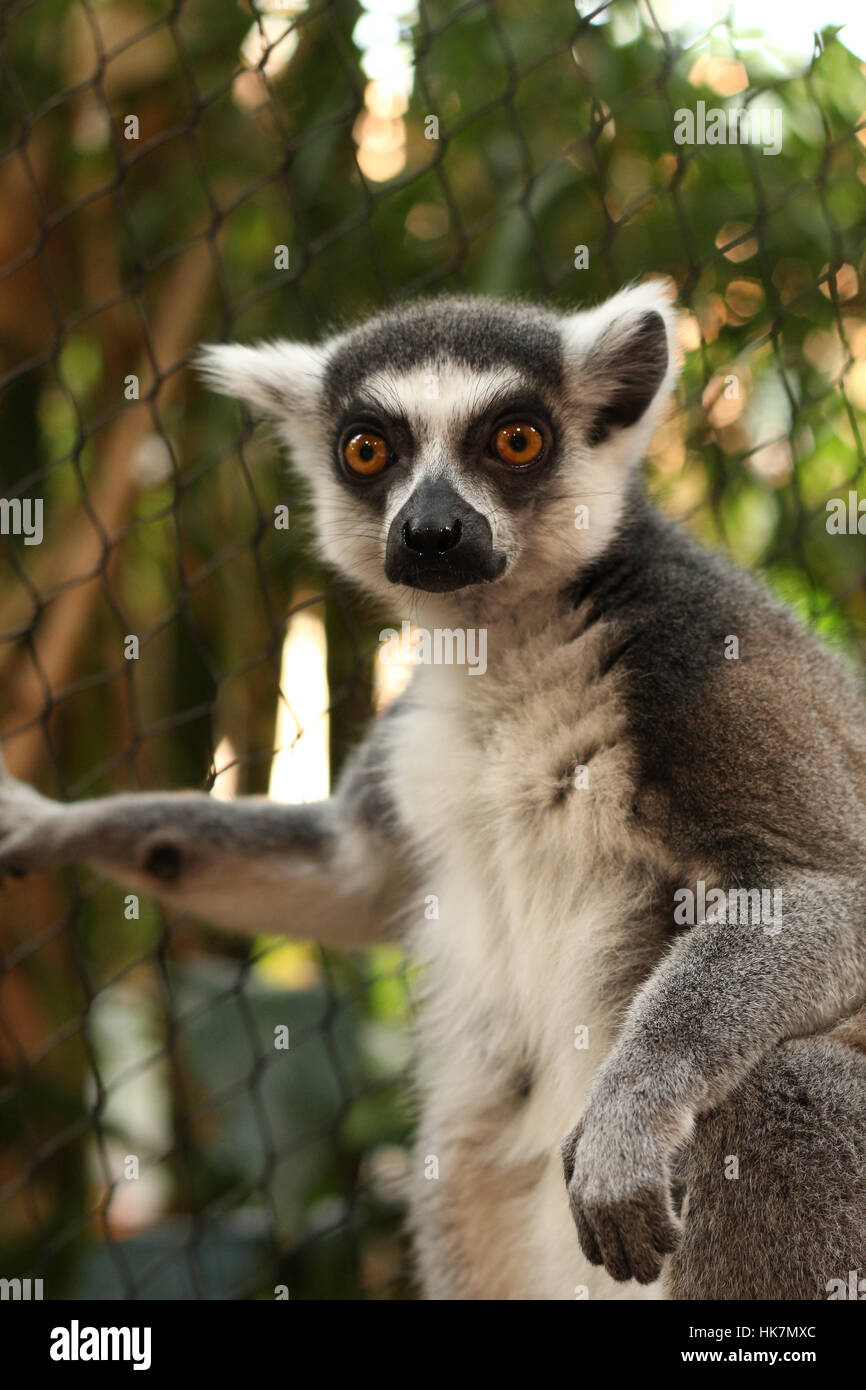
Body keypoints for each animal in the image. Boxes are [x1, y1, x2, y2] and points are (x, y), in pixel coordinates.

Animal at [2, 281, 865, 1300]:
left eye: (516, 439)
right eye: (367, 449)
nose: (431, 531)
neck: (504, 647)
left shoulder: (698, 656)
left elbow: (821, 890)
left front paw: (626, 1122)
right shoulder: (417, 729)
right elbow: (350, 873)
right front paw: (51, 825)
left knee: (773, 1095)